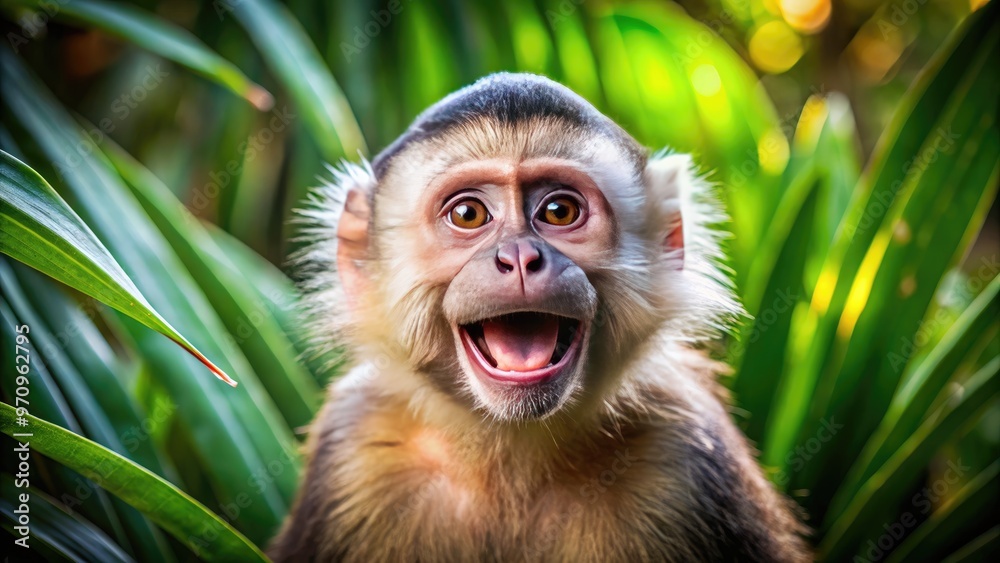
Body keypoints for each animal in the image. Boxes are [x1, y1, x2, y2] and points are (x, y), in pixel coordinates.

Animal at [269, 73, 809, 562]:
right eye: (467, 214)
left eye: (558, 211)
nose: (520, 257)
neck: (510, 453)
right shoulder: (352, 444)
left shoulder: (688, 453)